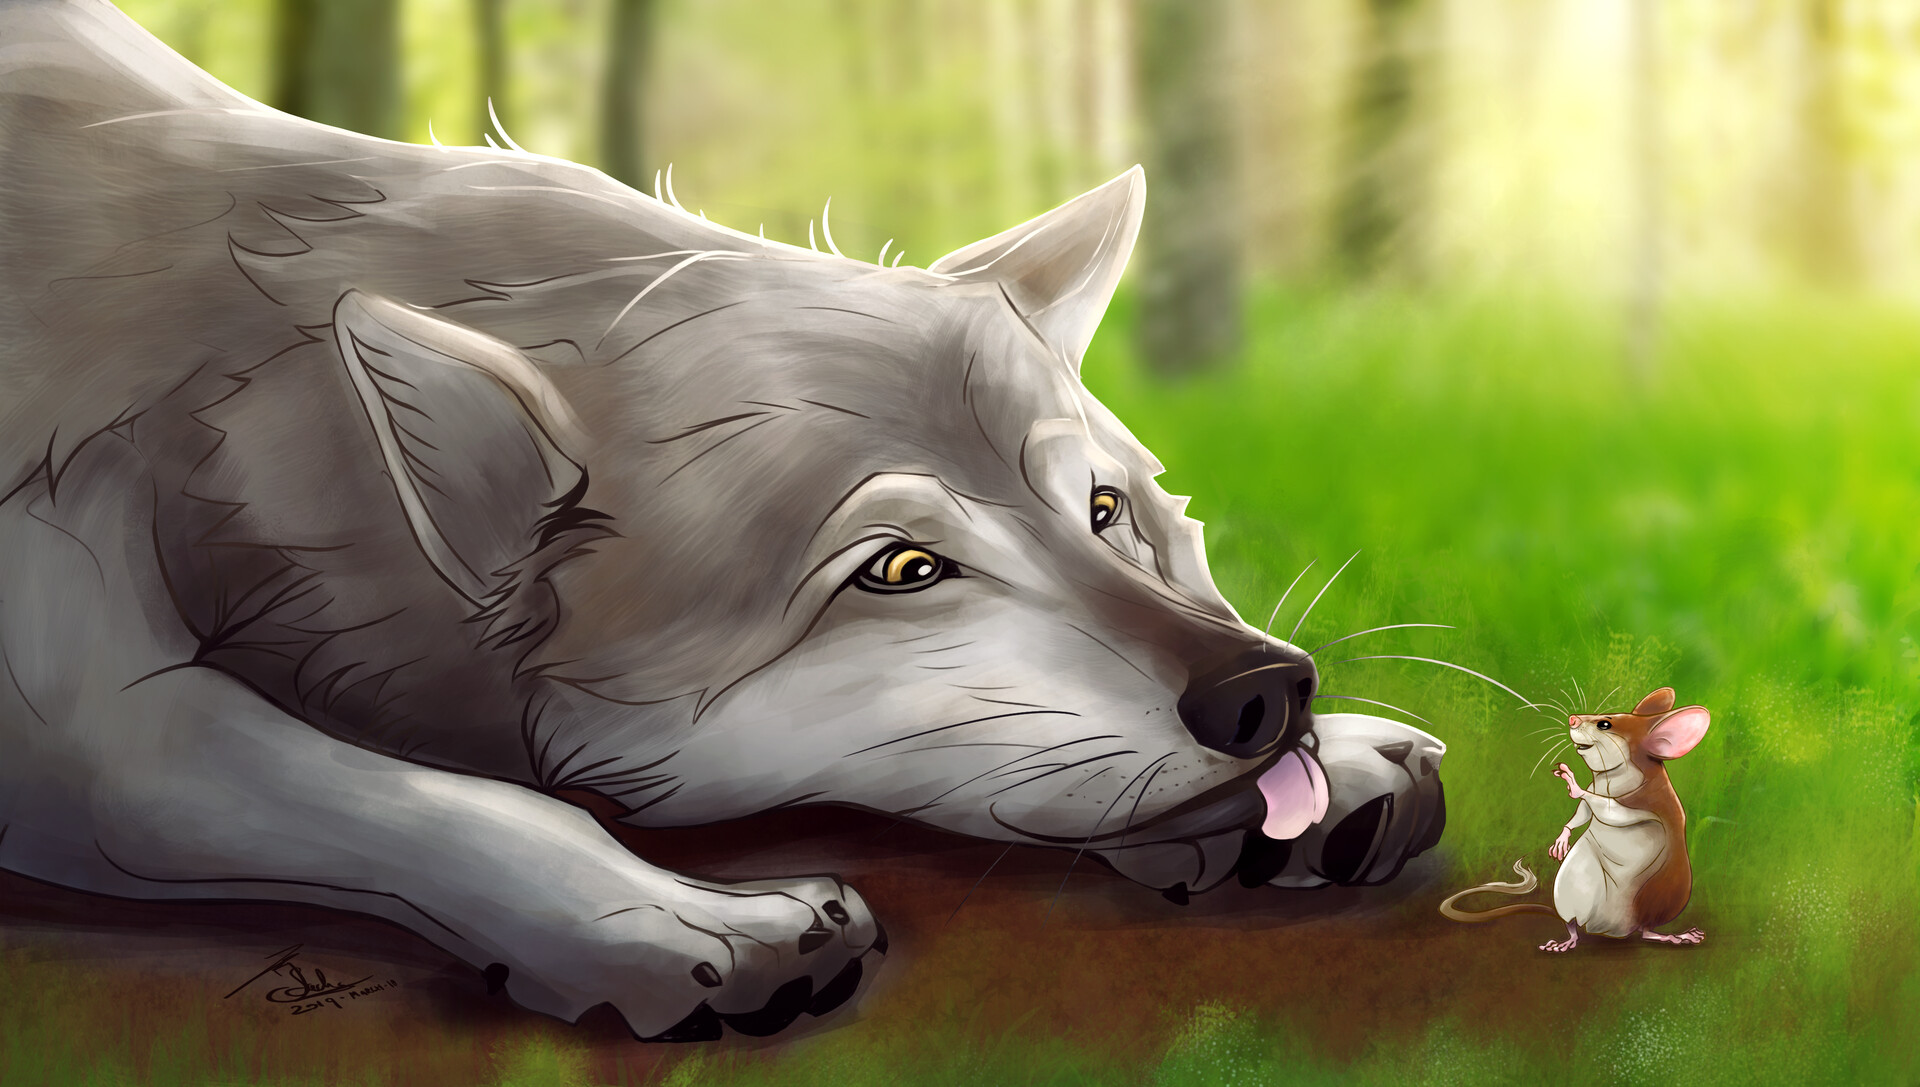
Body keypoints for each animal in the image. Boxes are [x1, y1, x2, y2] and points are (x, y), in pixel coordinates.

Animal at [0, 0, 1446, 1041]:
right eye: (902, 567)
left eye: (1104, 510)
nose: (1269, 690)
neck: (229, 418)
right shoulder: (79, 720)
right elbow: (433, 793)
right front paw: (685, 927)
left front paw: (1331, 771)